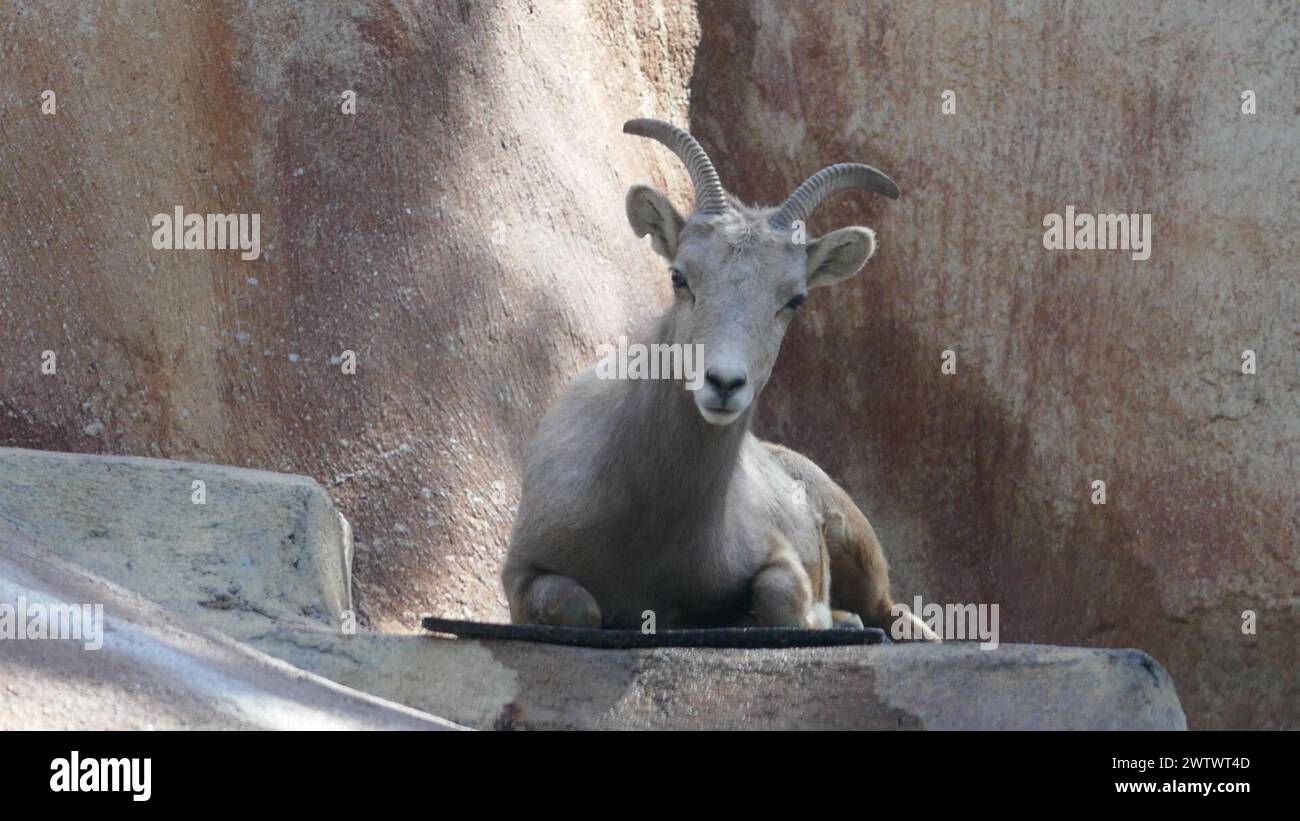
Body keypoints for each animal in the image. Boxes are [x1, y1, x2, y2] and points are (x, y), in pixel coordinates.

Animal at [502, 119, 938, 640]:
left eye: (794, 300)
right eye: (679, 276)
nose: (725, 384)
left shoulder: (777, 555)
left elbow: (778, 594)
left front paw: (815, 617)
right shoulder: (524, 574)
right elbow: (577, 607)